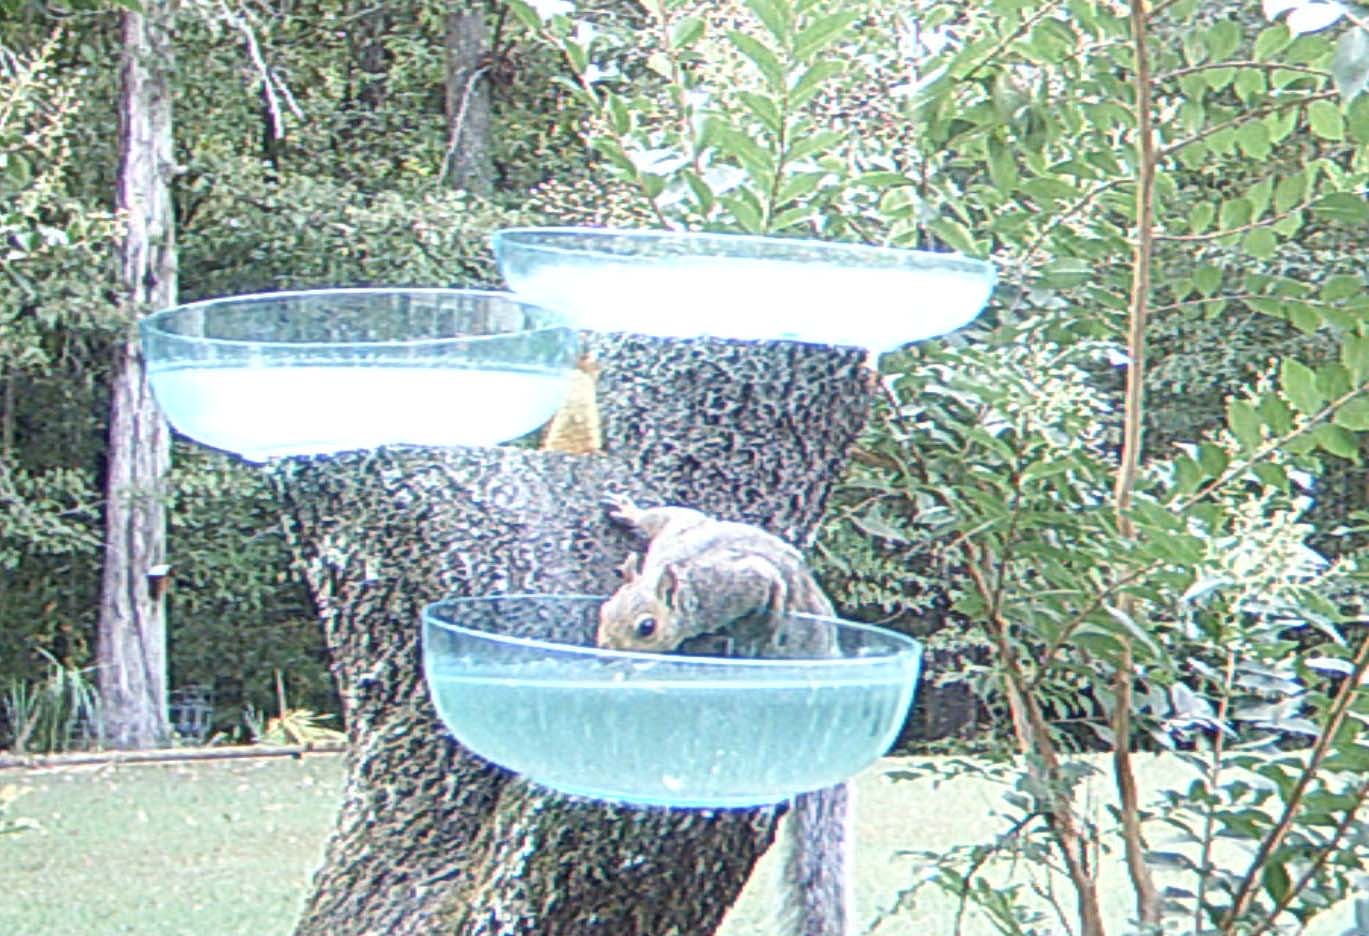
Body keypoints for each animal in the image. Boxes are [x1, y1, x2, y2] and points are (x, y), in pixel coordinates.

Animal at [597, 495, 853, 936]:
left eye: (647, 627)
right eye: (604, 610)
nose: (607, 658)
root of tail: (827, 653)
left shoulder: (732, 585)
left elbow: (769, 588)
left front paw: (759, 628)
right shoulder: (678, 532)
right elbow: (674, 516)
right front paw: (630, 512)